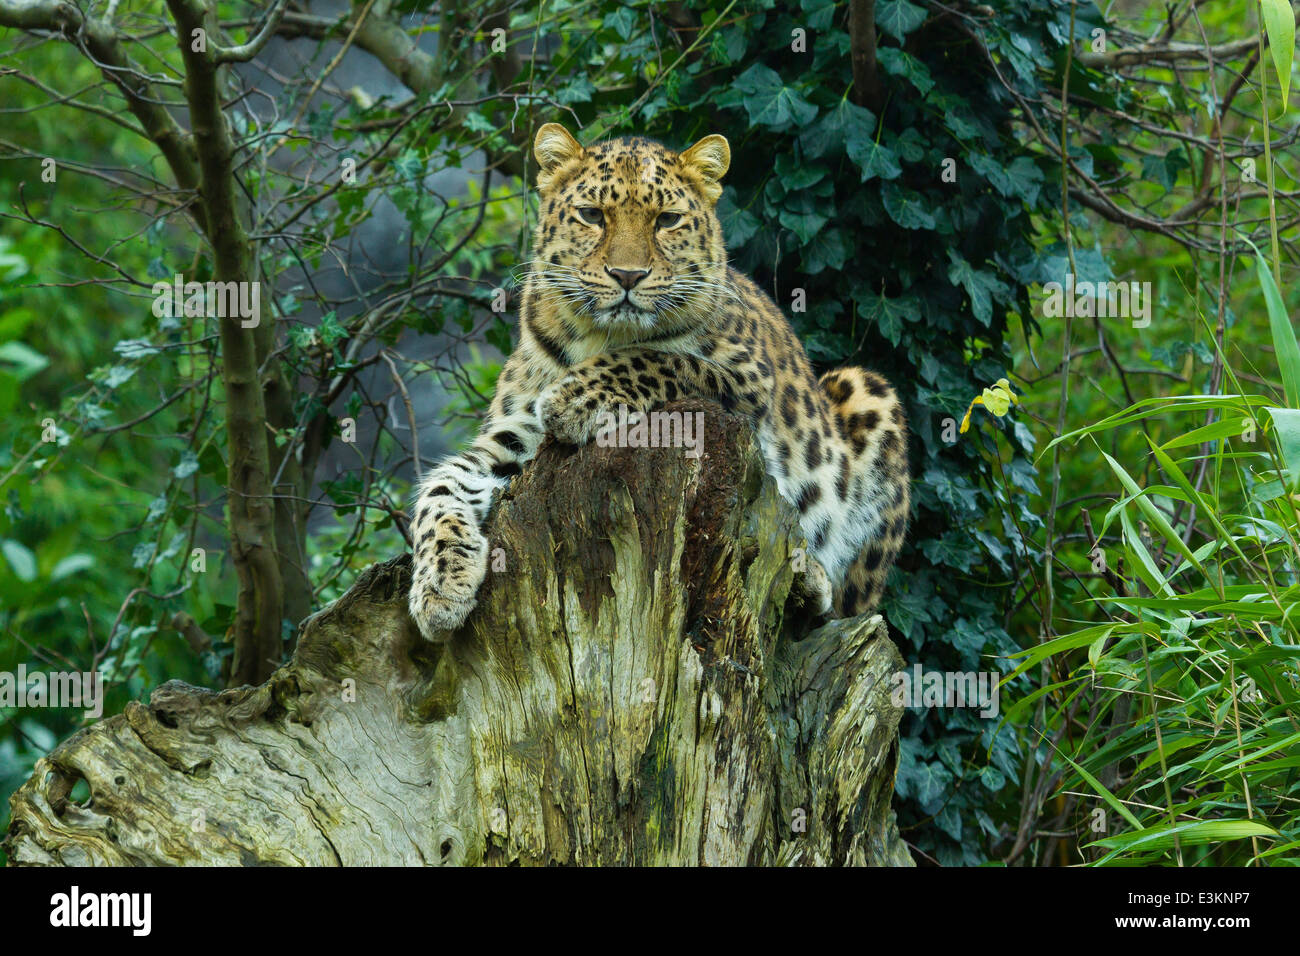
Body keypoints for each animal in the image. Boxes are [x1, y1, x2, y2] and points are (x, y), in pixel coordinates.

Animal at [407, 122, 910, 639]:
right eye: (592, 215)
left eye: (667, 220)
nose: (627, 275)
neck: (601, 335)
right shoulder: (511, 438)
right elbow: (440, 490)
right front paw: (439, 588)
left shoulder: (750, 379)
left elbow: (660, 358)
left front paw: (575, 398)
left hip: (866, 391)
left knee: (844, 604)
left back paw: (811, 574)